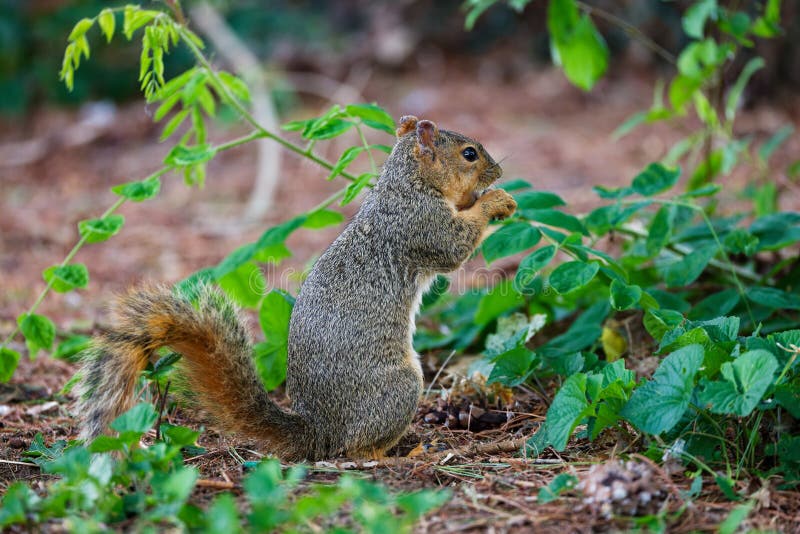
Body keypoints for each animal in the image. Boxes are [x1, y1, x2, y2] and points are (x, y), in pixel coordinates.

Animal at [77, 115, 517, 460]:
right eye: (469, 154)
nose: (498, 172)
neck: (408, 184)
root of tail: (319, 429)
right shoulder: (422, 224)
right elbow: (455, 246)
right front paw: (495, 200)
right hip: (399, 387)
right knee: (356, 449)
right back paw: (403, 452)